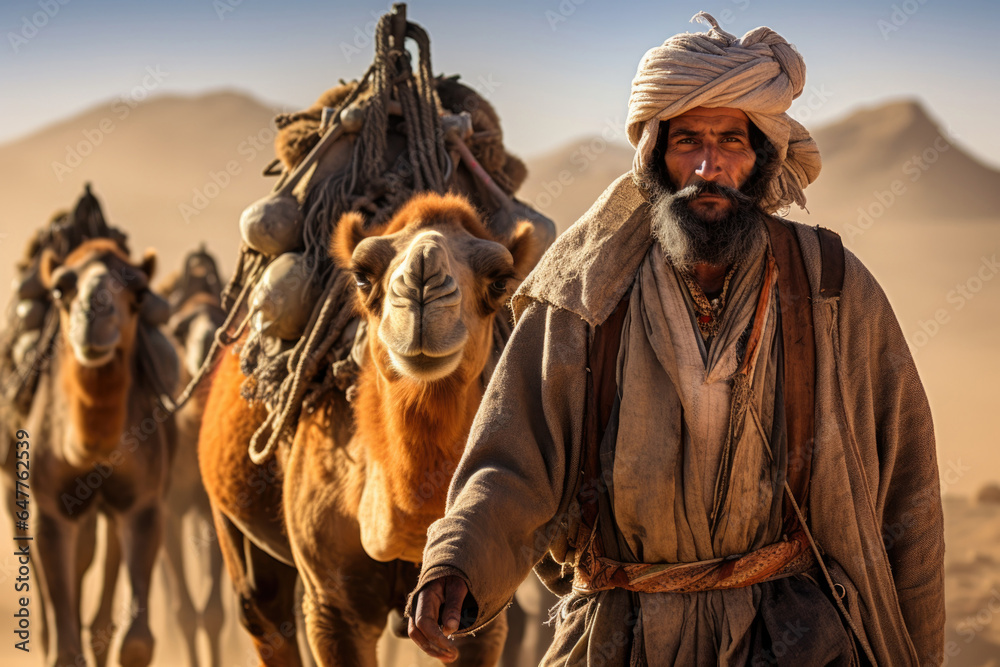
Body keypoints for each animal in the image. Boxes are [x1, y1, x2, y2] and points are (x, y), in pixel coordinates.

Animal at [22, 238, 177, 667]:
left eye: (140, 293)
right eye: (60, 289)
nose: (95, 311)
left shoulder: (144, 503)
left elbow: (137, 643)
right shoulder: (49, 508)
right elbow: (62, 650)